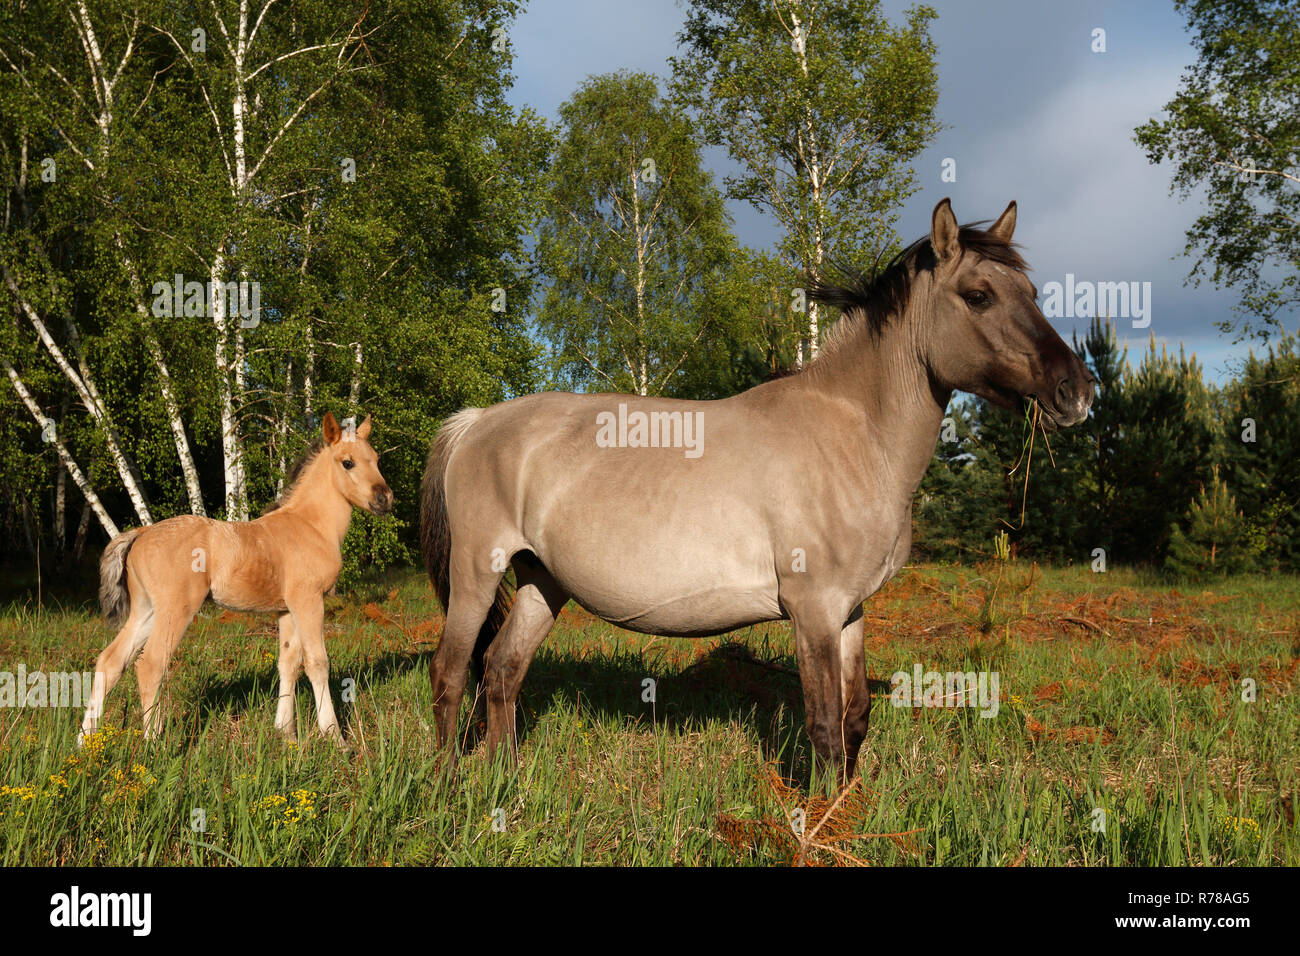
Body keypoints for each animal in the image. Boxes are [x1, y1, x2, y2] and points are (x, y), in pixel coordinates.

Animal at [80, 412, 392, 746]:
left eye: (376, 459)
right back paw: (154, 744)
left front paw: (286, 733)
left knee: (110, 661)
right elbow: (317, 662)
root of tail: (141, 533)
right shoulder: (308, 600)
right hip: (175, 610)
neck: (310, 525)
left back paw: (86, 741)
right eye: (347, 462)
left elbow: (288, 663)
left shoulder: (286, 609)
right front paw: (335, 738)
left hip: (146, 610)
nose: (384, 498)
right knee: (150, 664)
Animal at [419, 199, 1096, 781]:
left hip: (543, 581)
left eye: (1033, 293)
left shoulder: (850, 610)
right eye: (978, 295)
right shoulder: (813, 610)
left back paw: (503, 776)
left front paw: (845, 810)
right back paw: (448, 784)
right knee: (451, 672)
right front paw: (819, 824)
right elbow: (824, 726)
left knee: (502, 670)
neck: (855, 436)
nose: (1077, 391)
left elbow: (855, 717)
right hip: (478, 574)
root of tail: (476, 421)